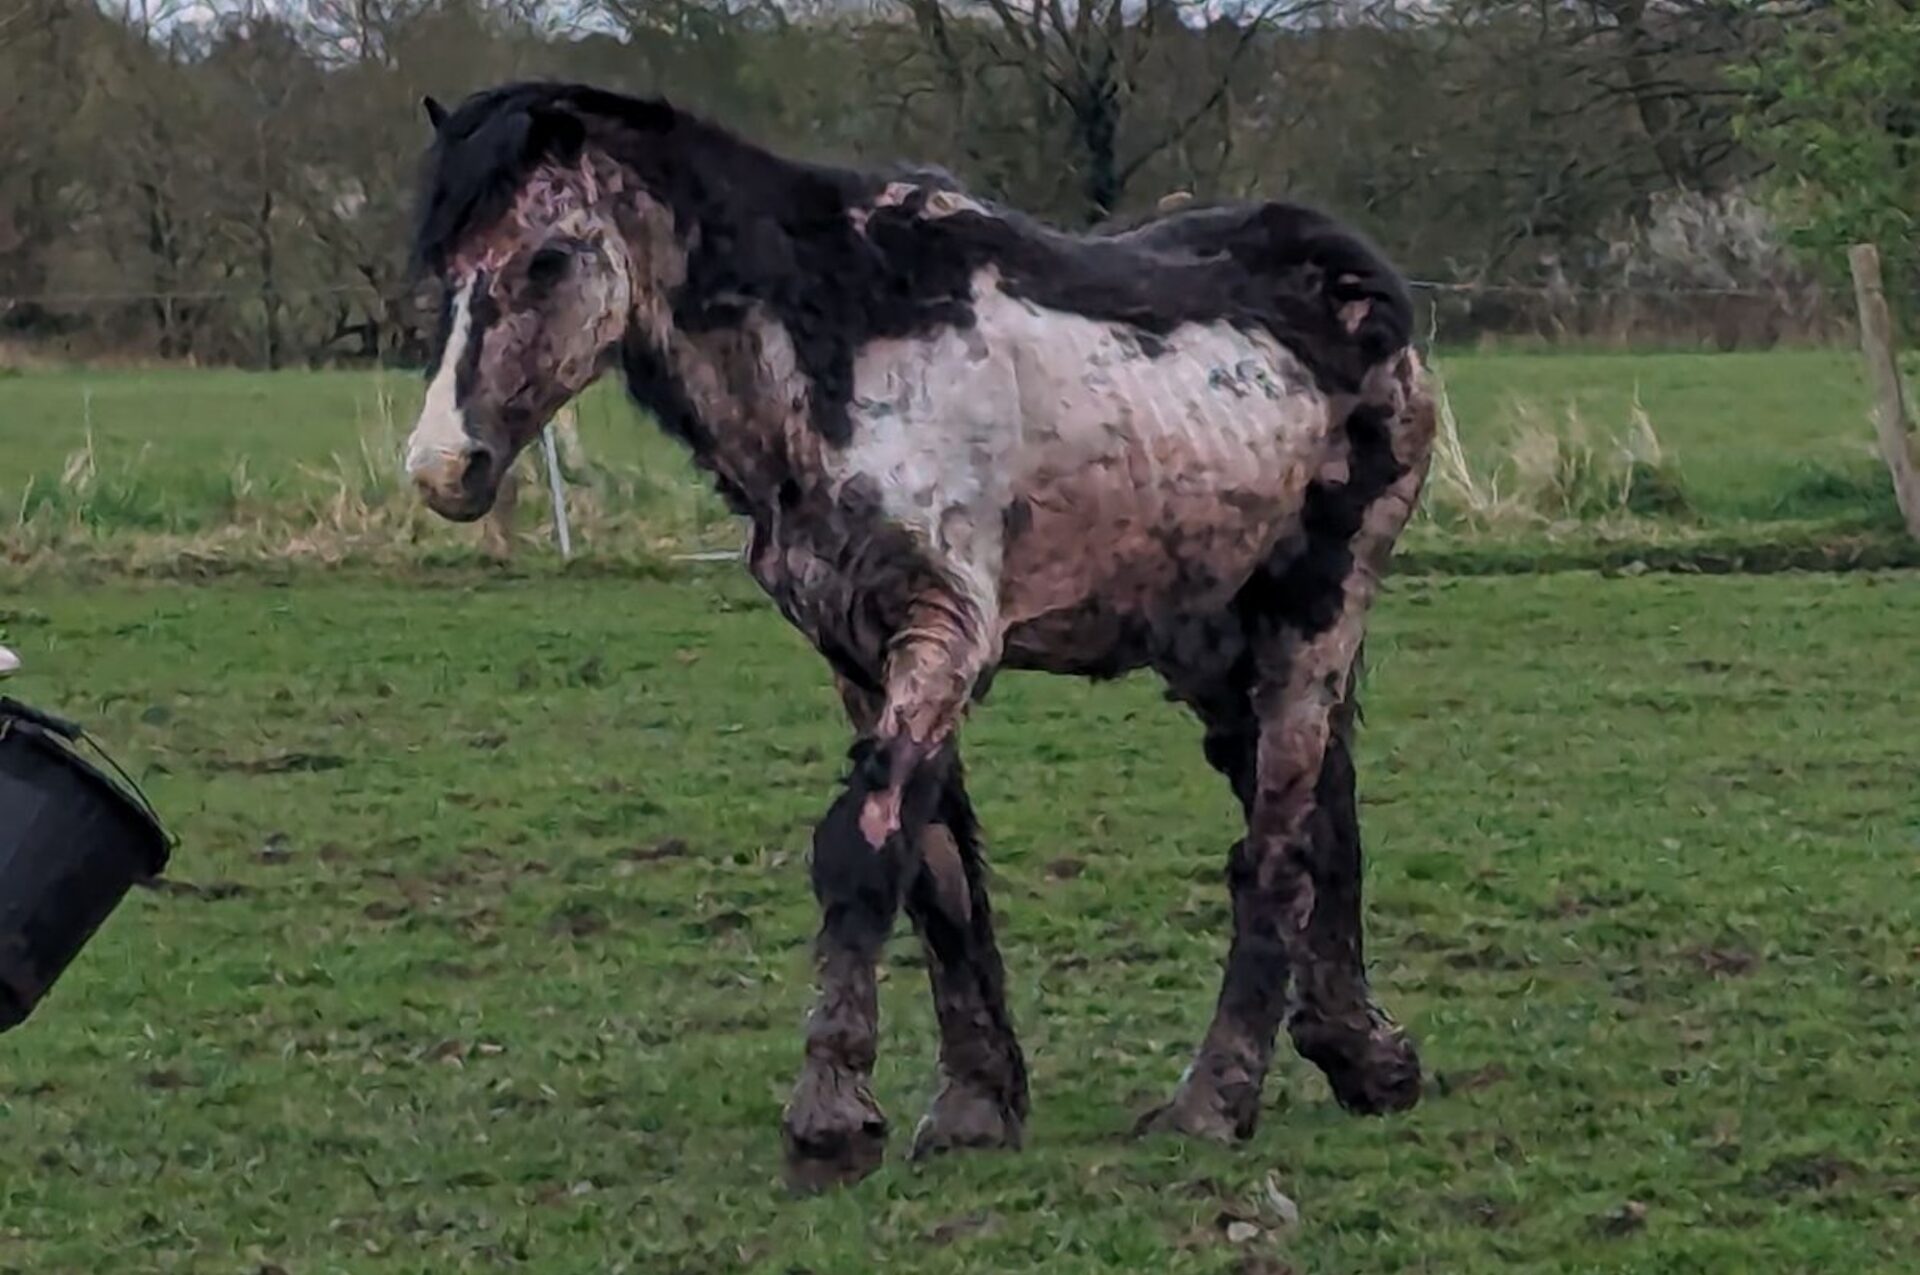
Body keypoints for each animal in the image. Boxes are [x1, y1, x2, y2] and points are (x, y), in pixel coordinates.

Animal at [402, 81, 1436, 1190]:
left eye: (548, 258)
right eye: (446, 268)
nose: (441, 466)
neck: (842, 347)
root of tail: (1362, 283)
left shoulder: (945, 633)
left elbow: (862, 853)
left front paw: (829, 1119)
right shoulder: (857, 651)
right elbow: (936, 873)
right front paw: (976, 1106)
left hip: (1316, 616)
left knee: (1276, 847)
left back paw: (1215, 1100)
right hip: (1208, 642)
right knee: (1323, 817)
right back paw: (1364, 1055)